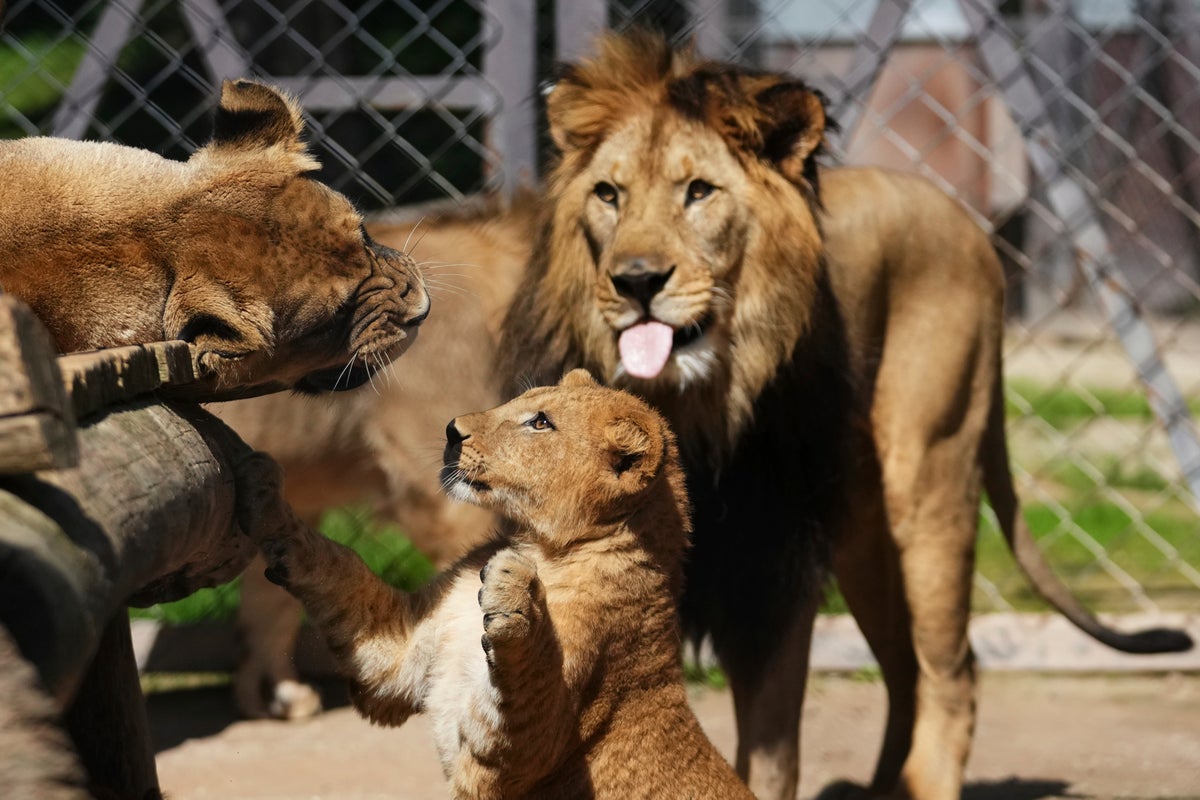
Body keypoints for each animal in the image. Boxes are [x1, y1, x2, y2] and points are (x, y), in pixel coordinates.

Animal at [234, 368, 754, 800]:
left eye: (540, 423)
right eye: (523, 401)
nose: (451, 430)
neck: (536, 544)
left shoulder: (519, 760)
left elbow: (530, 685)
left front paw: (512, 590)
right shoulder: (400, 655)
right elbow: (336, 566)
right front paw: (263, 492)